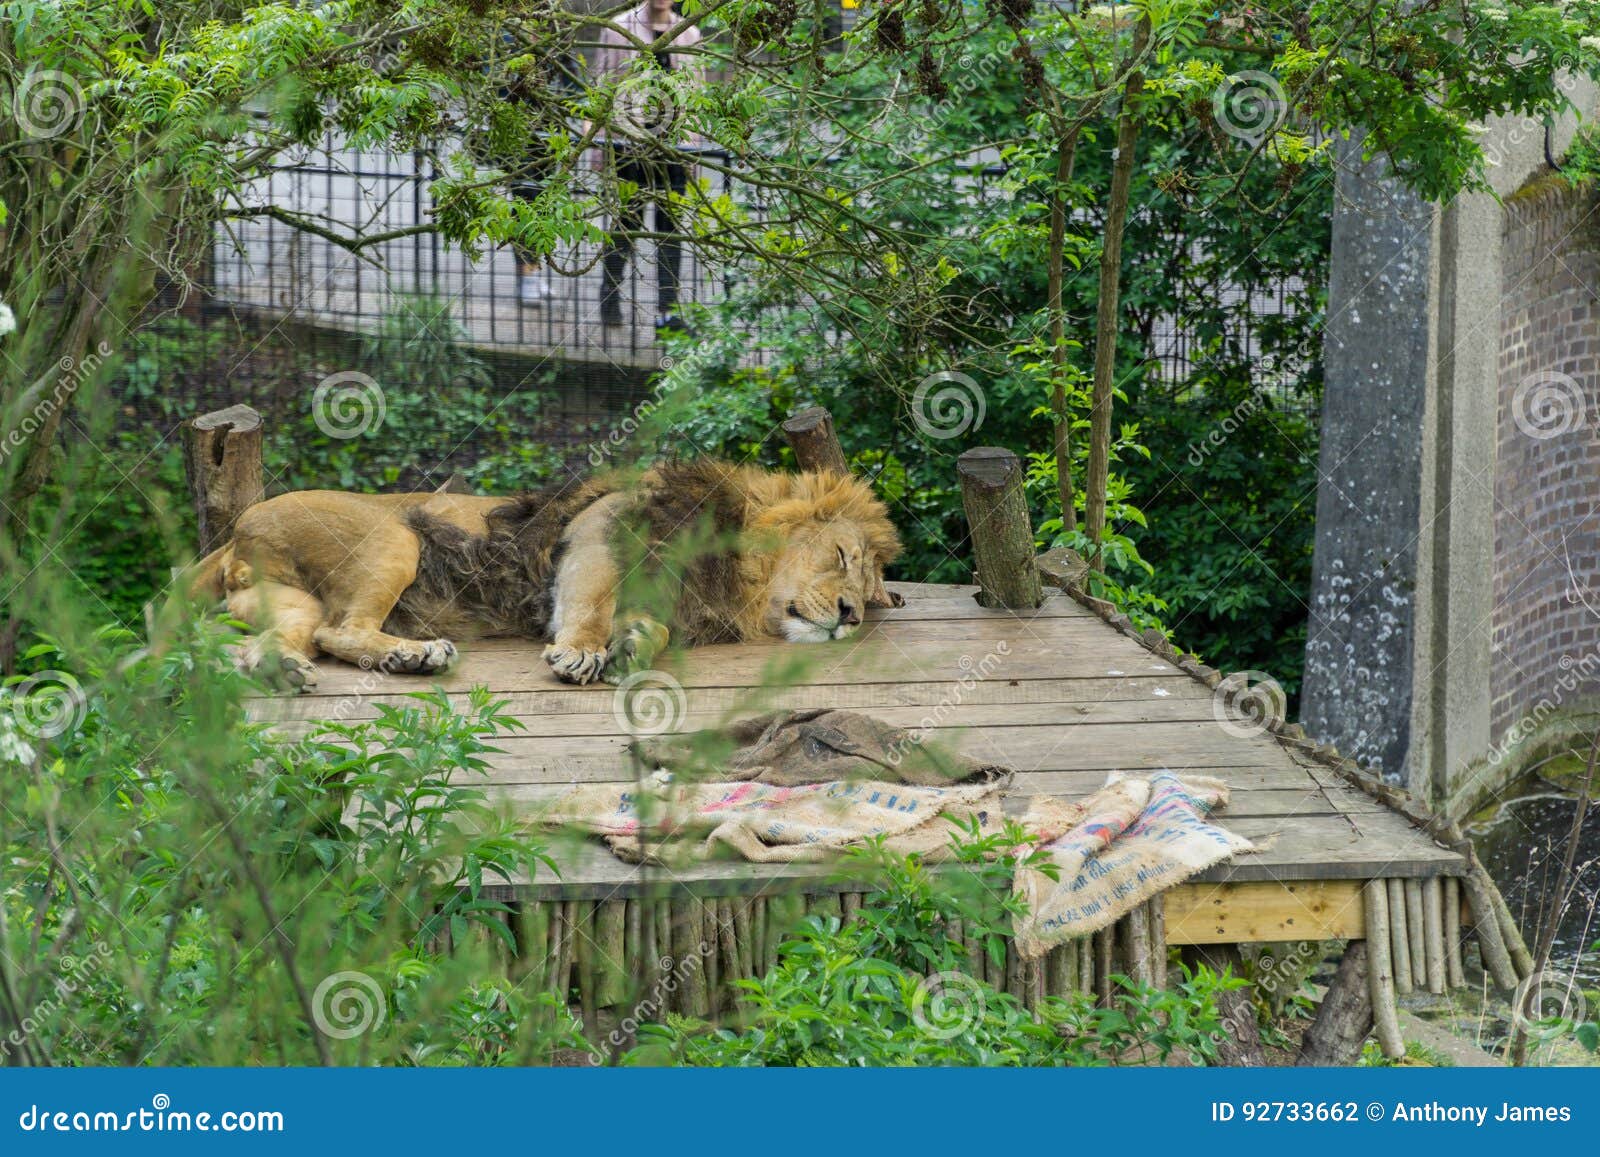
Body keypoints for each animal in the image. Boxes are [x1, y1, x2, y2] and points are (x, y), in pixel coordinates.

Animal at [185, 459, 903, 690]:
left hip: (283, 600)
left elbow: (652, 629)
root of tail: (236, 530)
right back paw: (415, 653)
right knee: (339, 629)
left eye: (869, 597)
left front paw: (631, 648)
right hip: (396, 536)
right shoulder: (603, 526)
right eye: (842, 557)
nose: (850, 615)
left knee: (279, 640)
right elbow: (589, 601)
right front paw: (583, 652)